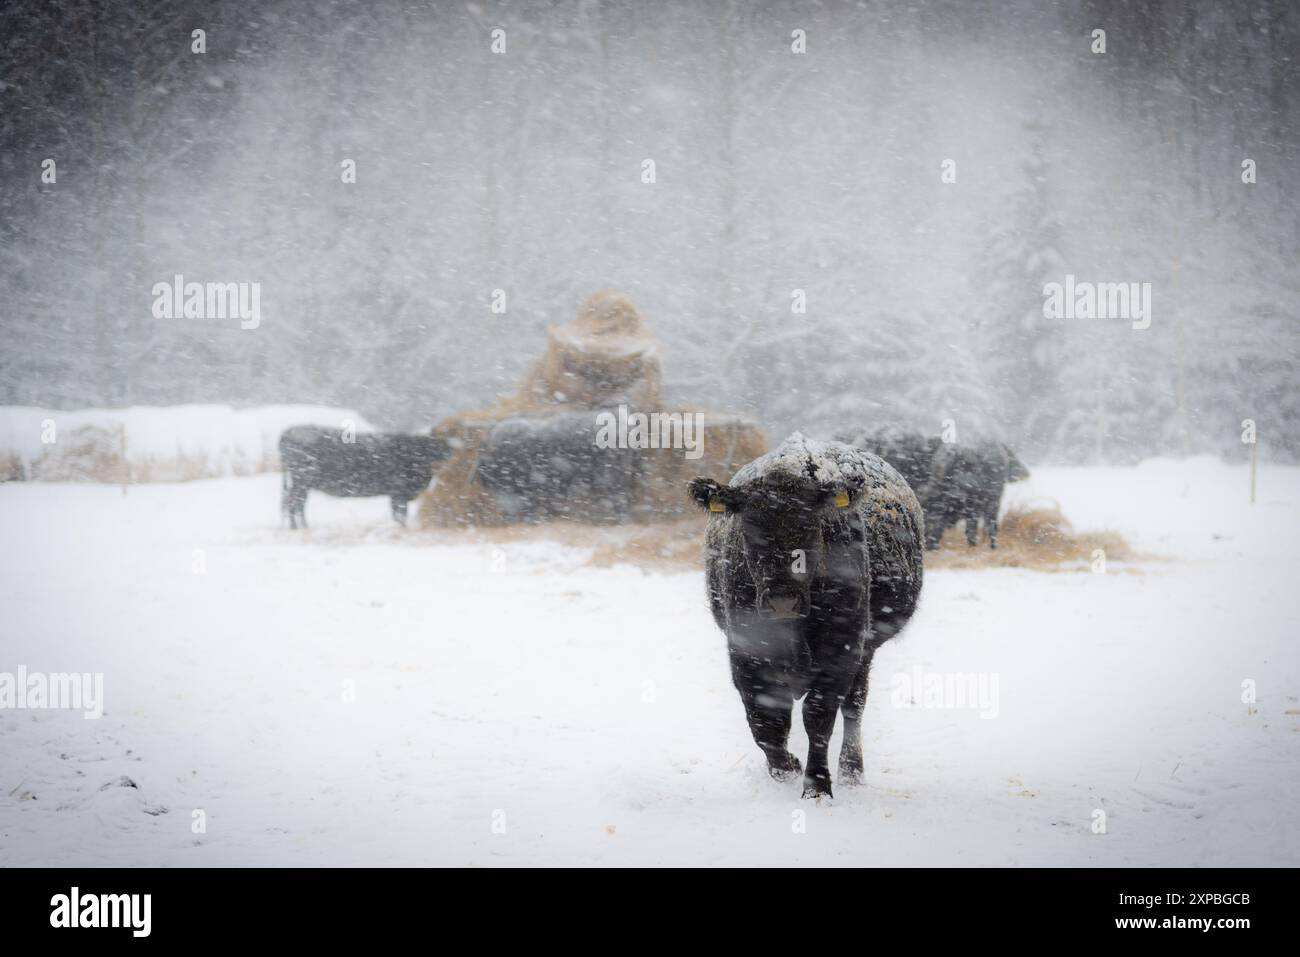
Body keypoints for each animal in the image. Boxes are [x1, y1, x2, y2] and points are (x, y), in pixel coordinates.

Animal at [279, 425, 450, 529]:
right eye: (430, 448)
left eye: (441, 448)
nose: (447, 456)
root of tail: (289, 432)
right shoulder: (398, 493)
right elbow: (400, 515)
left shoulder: (396, 495)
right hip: (302, 481)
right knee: (293, 502)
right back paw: (296, 528)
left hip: (302, 484)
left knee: (296, 503)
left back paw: (303, 527)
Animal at [689, 432, 924, 799]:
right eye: (749, 529)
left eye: (811, 527)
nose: (782, 602)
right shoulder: (745, 653)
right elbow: (765, 725)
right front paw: (786, 769)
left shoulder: (840, 651)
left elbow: (818, 717)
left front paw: (817, 787)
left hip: (865, 651)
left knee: (854, 706)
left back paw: (852, 771)